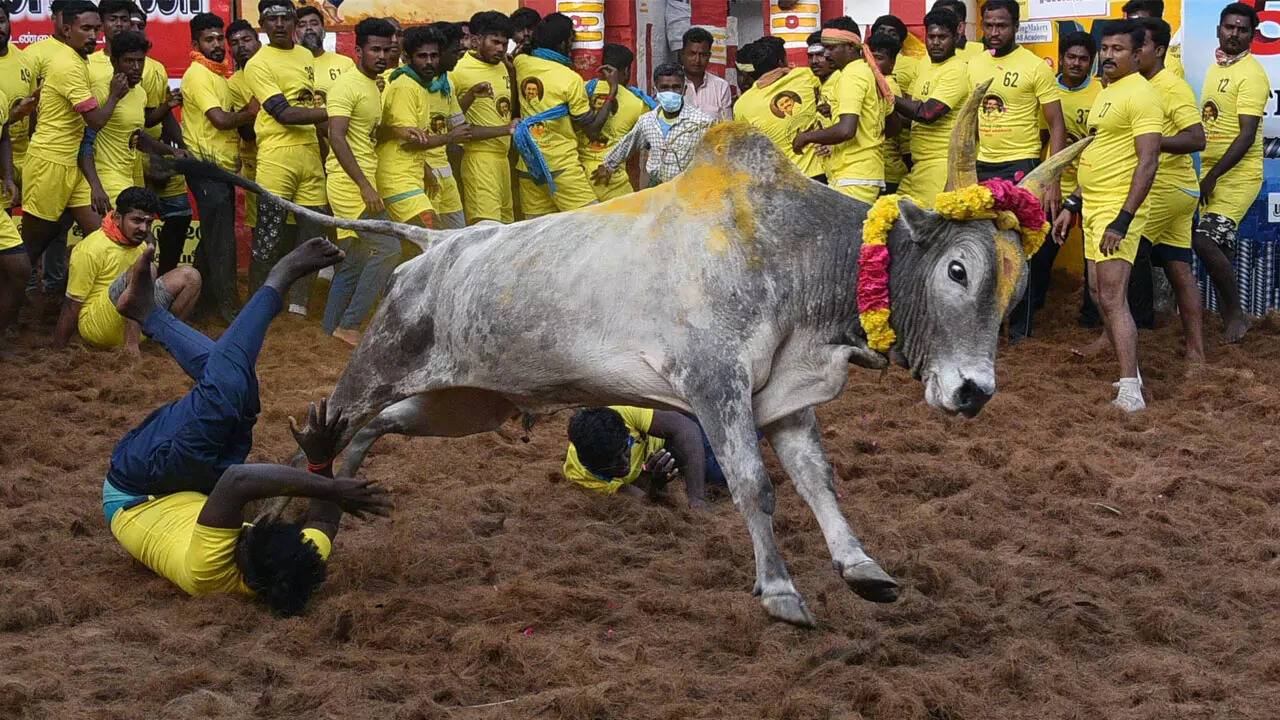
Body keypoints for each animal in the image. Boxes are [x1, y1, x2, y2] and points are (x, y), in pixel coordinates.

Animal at [170, 83, 1085, 626]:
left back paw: (333, 511)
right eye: (957, 269)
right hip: (387, 362)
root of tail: (439, 244)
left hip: (463, 403)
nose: (972, 391)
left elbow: (819, 483)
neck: (795, 252)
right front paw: (781, 591)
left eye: (1013, 289)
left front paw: (862, 569)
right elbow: (755, 486)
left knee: (373, 431)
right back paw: (287, 513)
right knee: (331, 420)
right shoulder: (716, 390)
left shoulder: (785, 403)